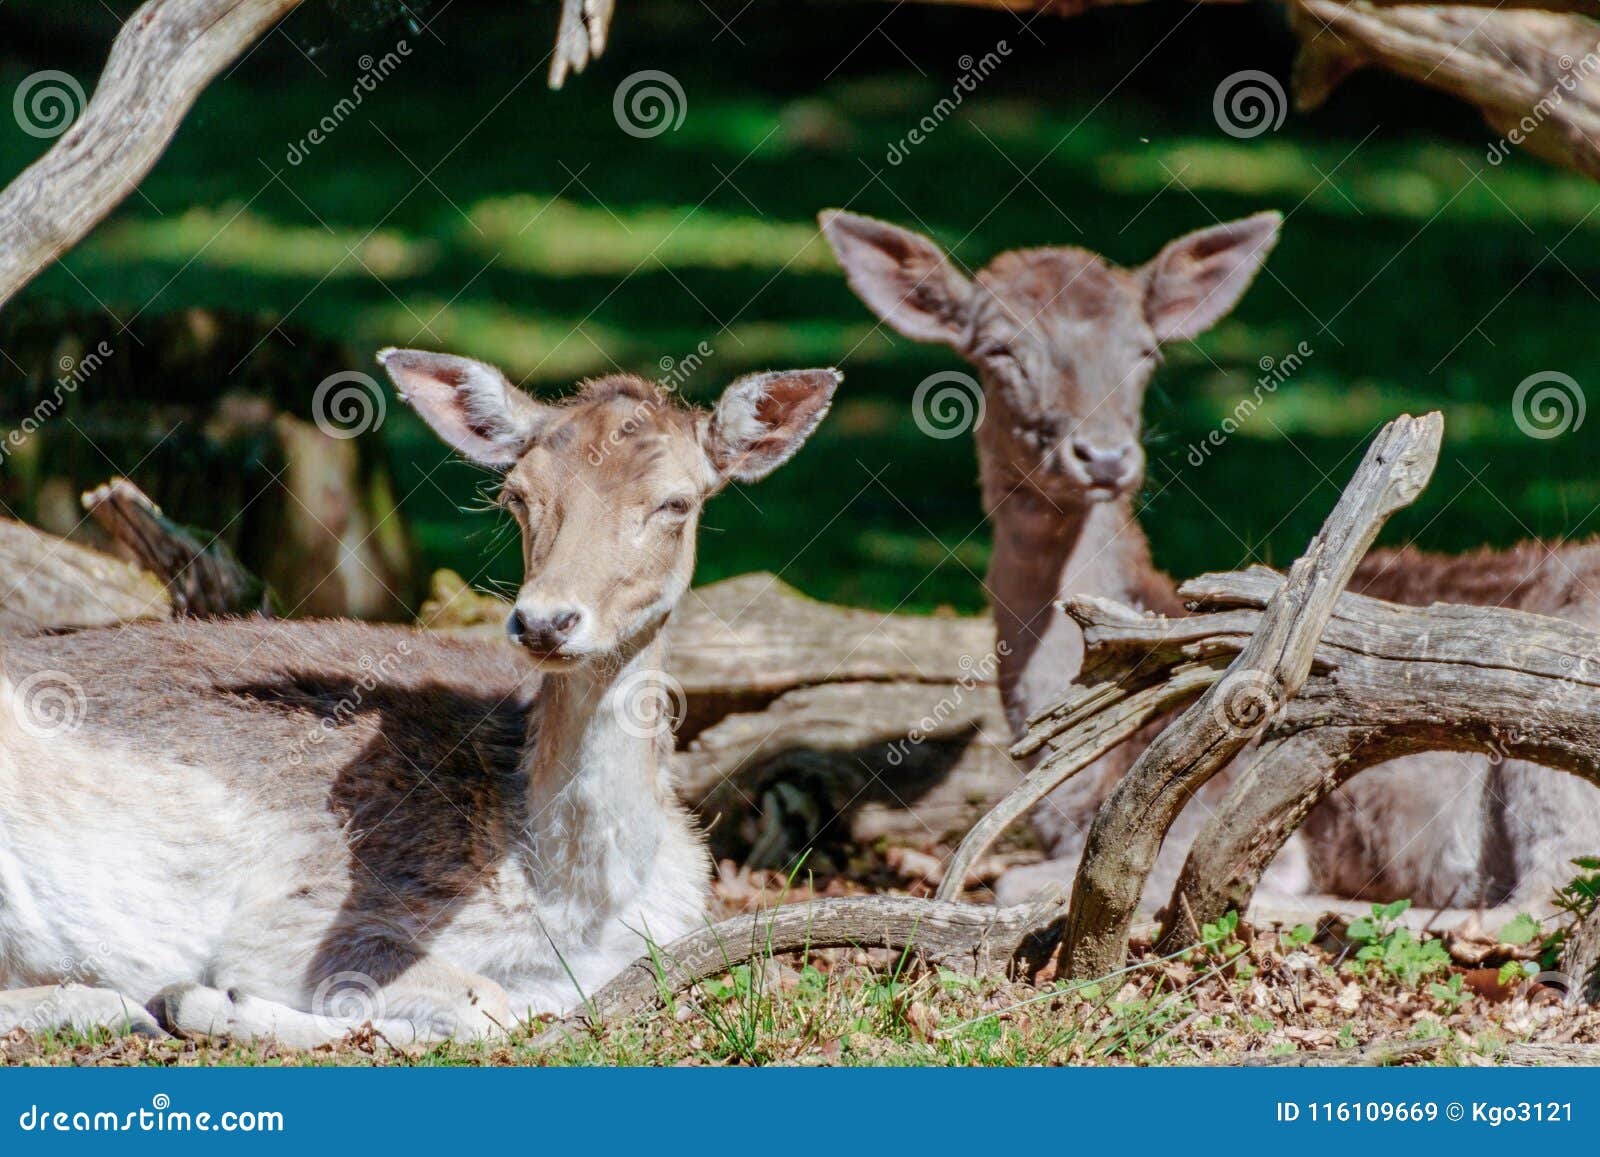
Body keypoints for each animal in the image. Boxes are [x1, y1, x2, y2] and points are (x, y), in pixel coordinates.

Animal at [0, 348, 839, 1045]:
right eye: (518, 495)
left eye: (675, 502)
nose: (545, 619)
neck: (573, 900)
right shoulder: (299, 915)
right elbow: (483, 1006)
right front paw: (209, 999)